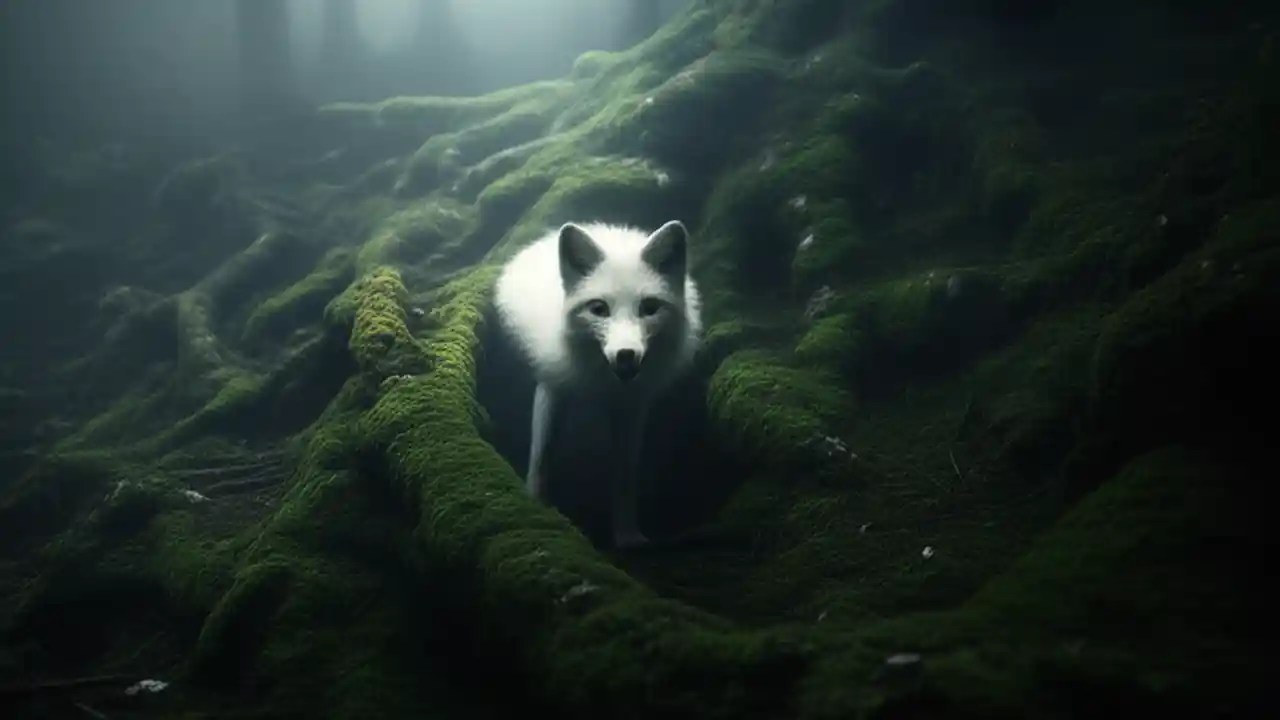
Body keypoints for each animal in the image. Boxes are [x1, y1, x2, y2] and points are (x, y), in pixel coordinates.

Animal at [493, 219, 703, 549]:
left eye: (649, 308)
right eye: (599, 309)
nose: (626, 355)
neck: (603, 384)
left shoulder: (632, 407)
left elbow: (625, 474)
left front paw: (628, 536)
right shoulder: (552, 388)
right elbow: (541, 458)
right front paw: (535, 508)